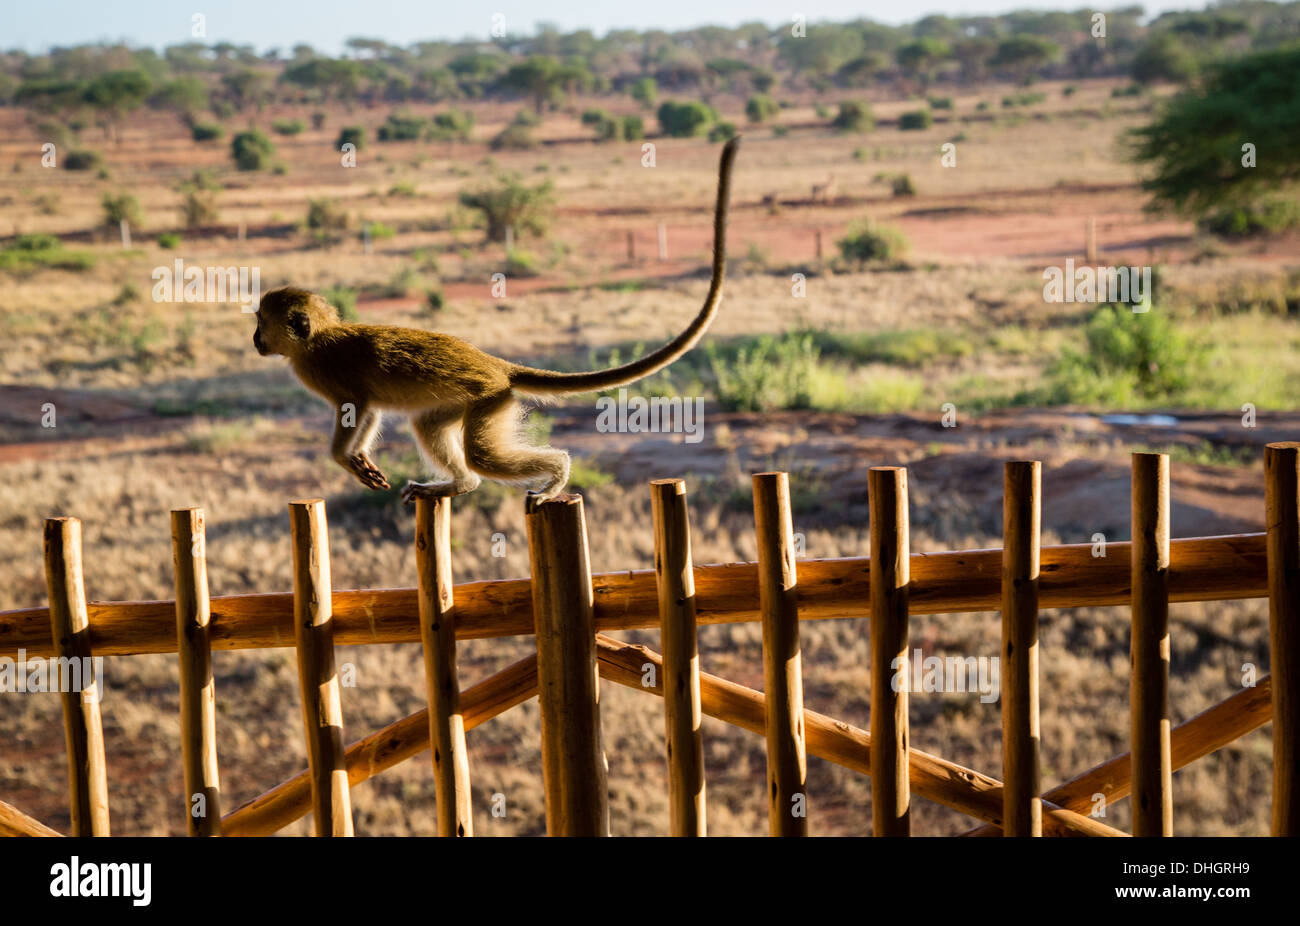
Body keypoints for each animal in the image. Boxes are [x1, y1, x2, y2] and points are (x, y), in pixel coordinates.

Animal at [253, 137, 739, 506]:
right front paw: (359, 462)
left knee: (482, 456)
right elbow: (369, 412)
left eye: (261, 322)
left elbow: (358, 408)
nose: (256, 340)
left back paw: (555, 473)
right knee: (433, 428)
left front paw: (345, 459)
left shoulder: (321, 372)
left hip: (489, 399)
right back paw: (459, 484)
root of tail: (496, 366)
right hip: (471, 400)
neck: (316, 338)